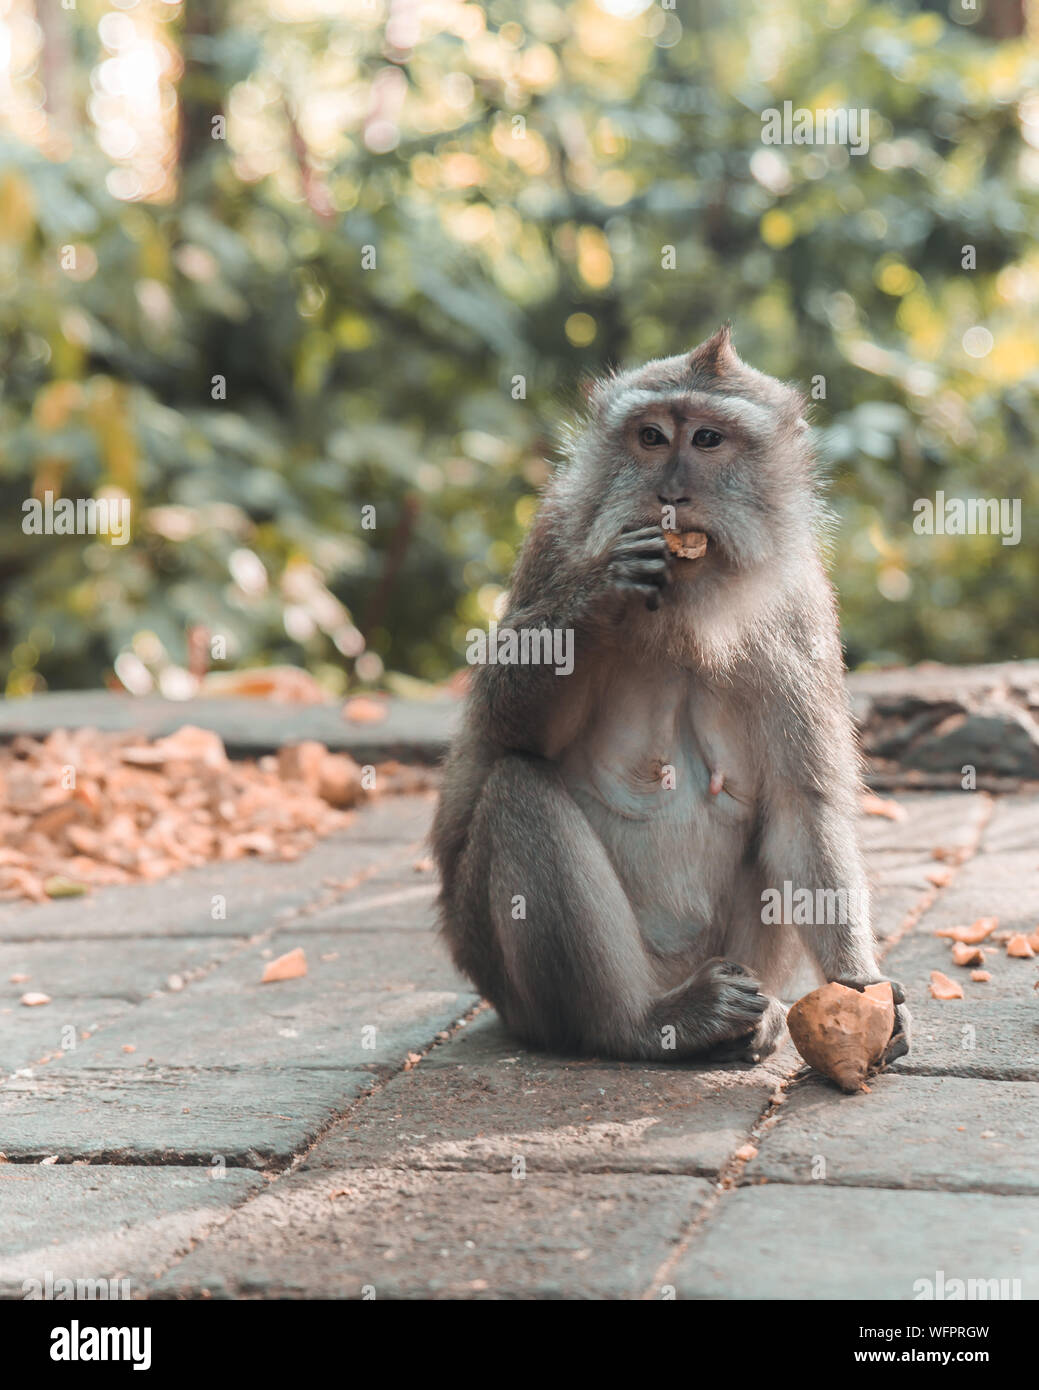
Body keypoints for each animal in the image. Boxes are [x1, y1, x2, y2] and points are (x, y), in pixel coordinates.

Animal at [431, 326, 910, 1065]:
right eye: (651, 436)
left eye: (708, 439)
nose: (671, 494)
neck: (688, 603)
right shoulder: (556, 535)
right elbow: (499, 736)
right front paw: (598, 595)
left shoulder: (800, 605)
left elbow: (801, 808)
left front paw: (860, 986)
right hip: (512, 984)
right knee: (516, 787)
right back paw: (643, 1024)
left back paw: (750, 1026)